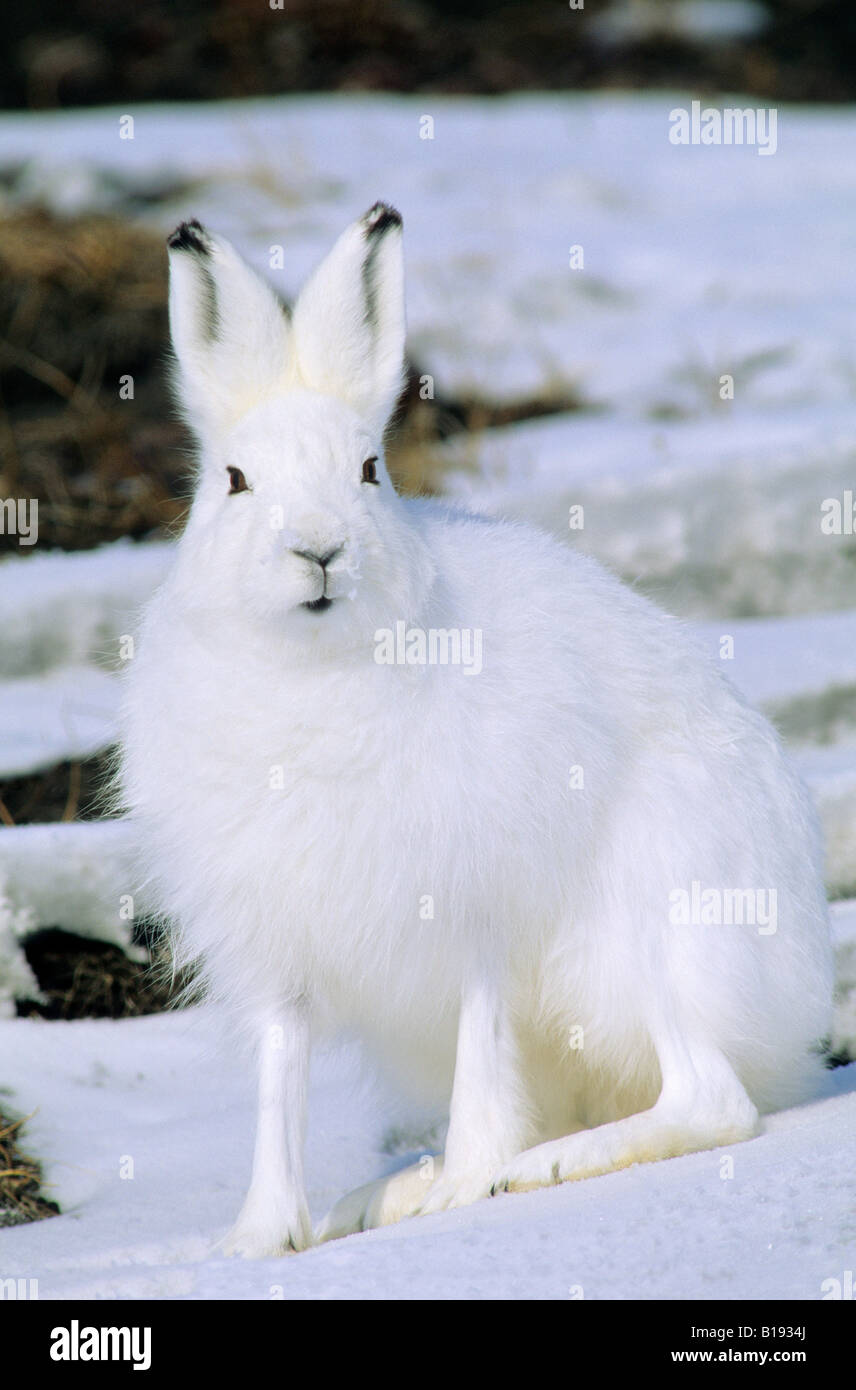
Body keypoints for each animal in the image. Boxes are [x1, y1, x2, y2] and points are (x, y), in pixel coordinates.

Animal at [119, 203, 833, 1258]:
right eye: (236, 482)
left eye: (369, 471)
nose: (318, 549)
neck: (315, 671)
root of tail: (796, 1006)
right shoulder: (280, 948)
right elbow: (280, 1080)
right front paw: (256, 1241)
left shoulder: (473, 911)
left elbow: (481, 1044)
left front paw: (467, 1183)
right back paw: (378, 1196)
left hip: (647, 926)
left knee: (711, 1097)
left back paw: (535, 1168)